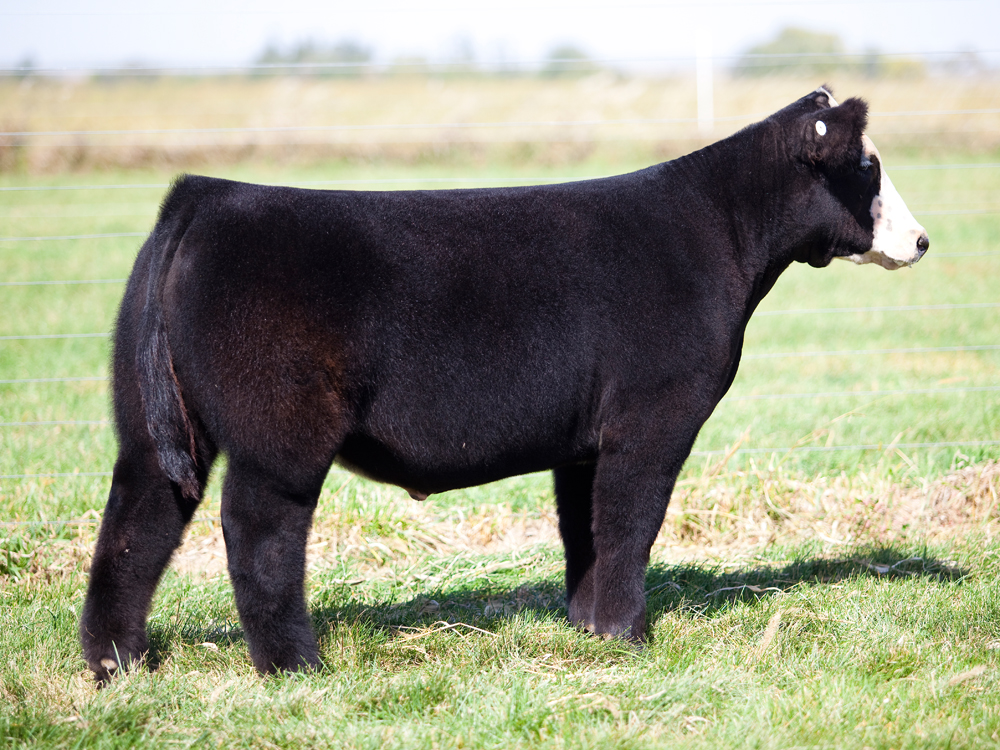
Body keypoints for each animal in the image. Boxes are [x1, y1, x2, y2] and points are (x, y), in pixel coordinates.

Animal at [80, 87, 928, 682]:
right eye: (867, 166)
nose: (921, 240)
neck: (714, 234)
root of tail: (207, 194)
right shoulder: (652, 420)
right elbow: (631, 523)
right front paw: (630, 634)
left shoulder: (584, 441)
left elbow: (585, 530)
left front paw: (590, 629)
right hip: (279, 436)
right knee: (257, 533)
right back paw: (296, 667)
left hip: (154, 427)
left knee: (136, 525)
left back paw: (116, 664)